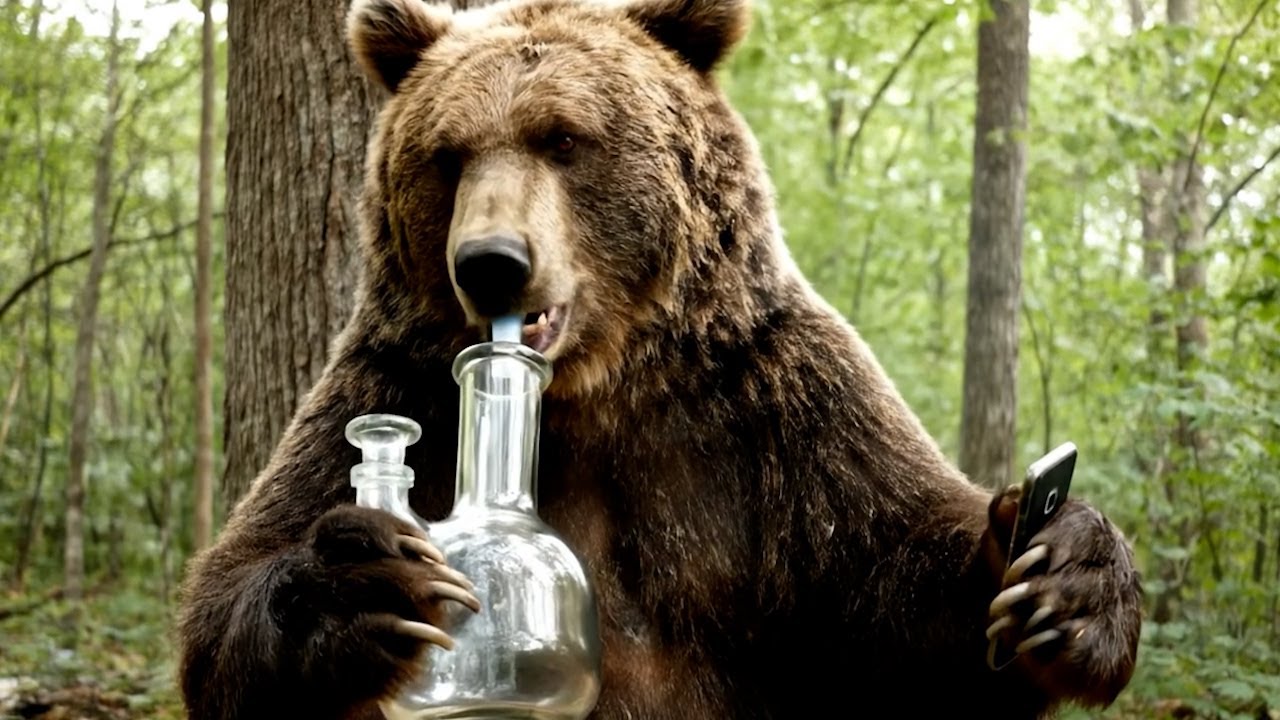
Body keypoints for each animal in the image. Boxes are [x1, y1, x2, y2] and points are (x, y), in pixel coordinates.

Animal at [174, 0, 1144, 717]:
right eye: (446, 154)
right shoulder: (391, 379)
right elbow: (228, 608)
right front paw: (359, 581)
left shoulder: (773, 403)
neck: (592, 384)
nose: (490, 262)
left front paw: (1066, 574)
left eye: (563, 138)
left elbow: (891, 598)